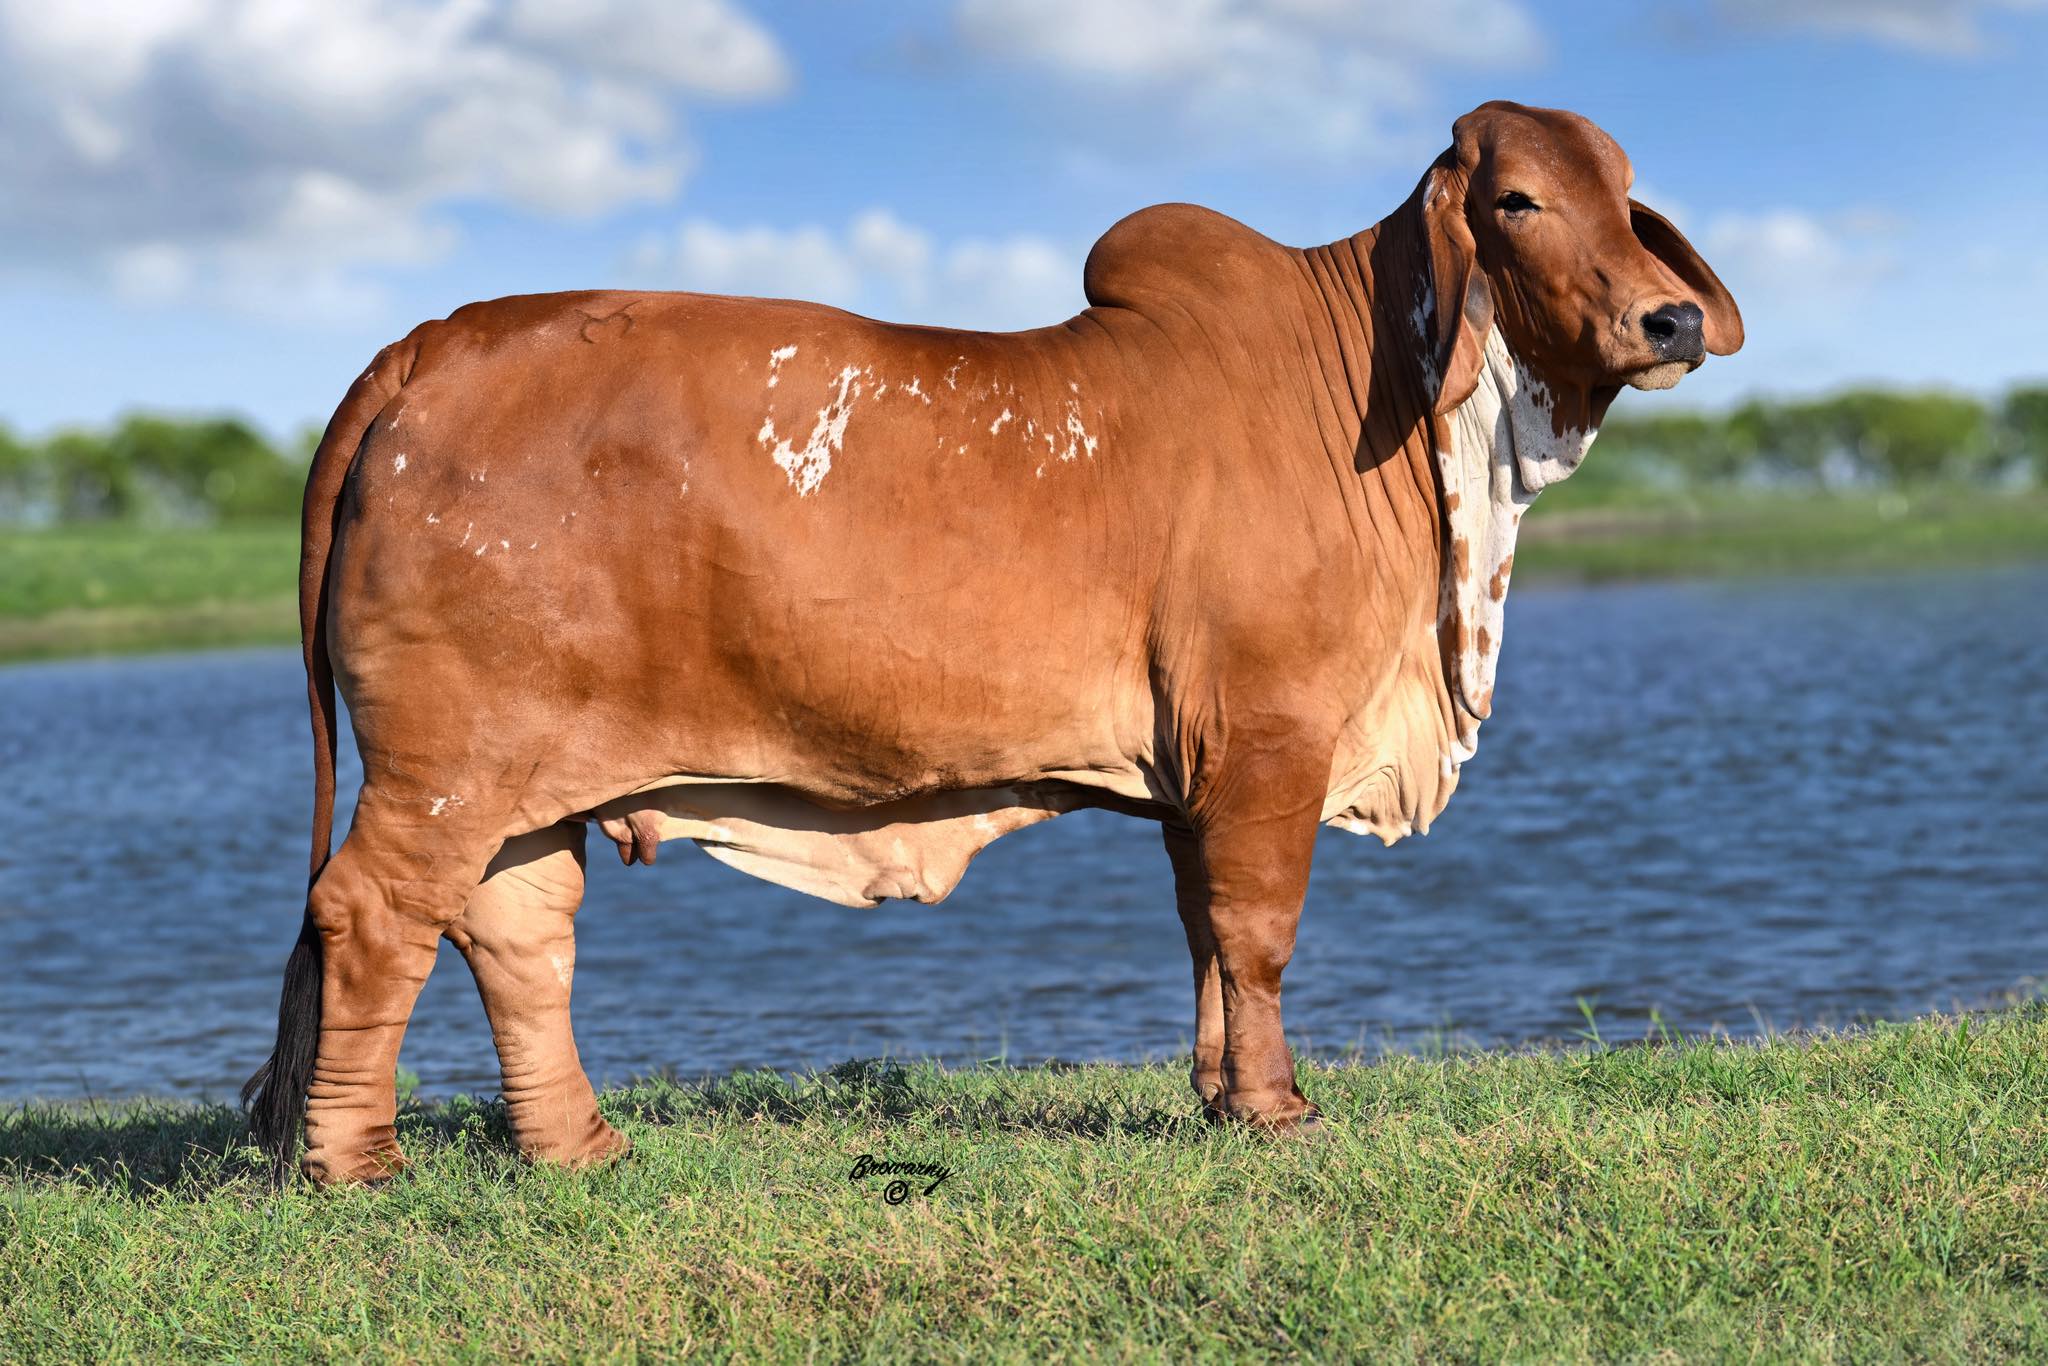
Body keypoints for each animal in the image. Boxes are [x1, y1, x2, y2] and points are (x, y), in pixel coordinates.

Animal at [245, 100, 1741, 1184]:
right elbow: (1257, 931)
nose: (1667, 317)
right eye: (1515, 200)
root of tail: (432, 343)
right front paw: (1276, 1108)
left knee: (516, 927)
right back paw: (354, 1164)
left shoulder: (1193, 765)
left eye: (1624, 192)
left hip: (524, 776)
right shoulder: (1270, 734)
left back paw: (577, 1147)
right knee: (370, 914)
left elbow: (1202, 931)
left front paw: (1219, 1096)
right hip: (445, 762)